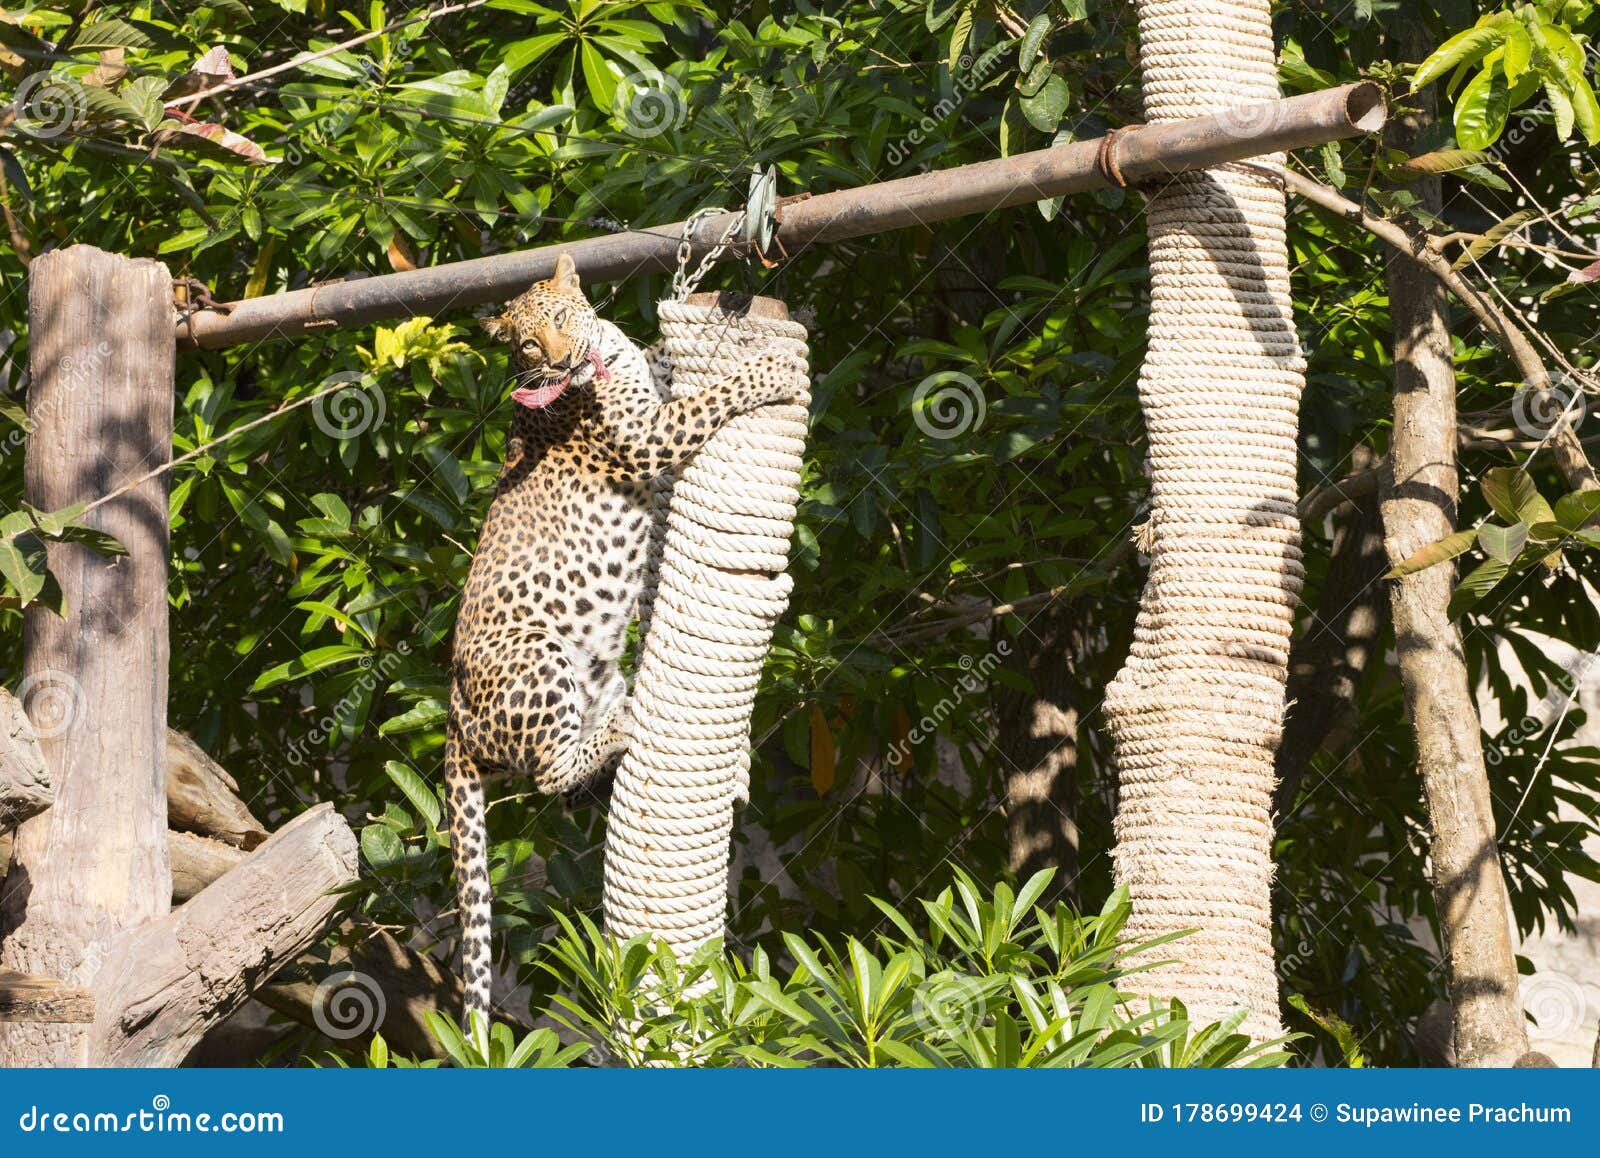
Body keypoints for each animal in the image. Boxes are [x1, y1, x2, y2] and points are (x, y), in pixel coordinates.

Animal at [444, 253, 799, 1027]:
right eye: (524, 344)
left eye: (558, 319)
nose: (552, 360)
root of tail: (452, 718)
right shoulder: (648, 440)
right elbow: (717, 394)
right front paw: (772, 374)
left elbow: (669, 367)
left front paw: (669, 342)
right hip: (538, 654)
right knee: (549, 773)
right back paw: (623, 730)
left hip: (596, 673)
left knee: (569, 791)